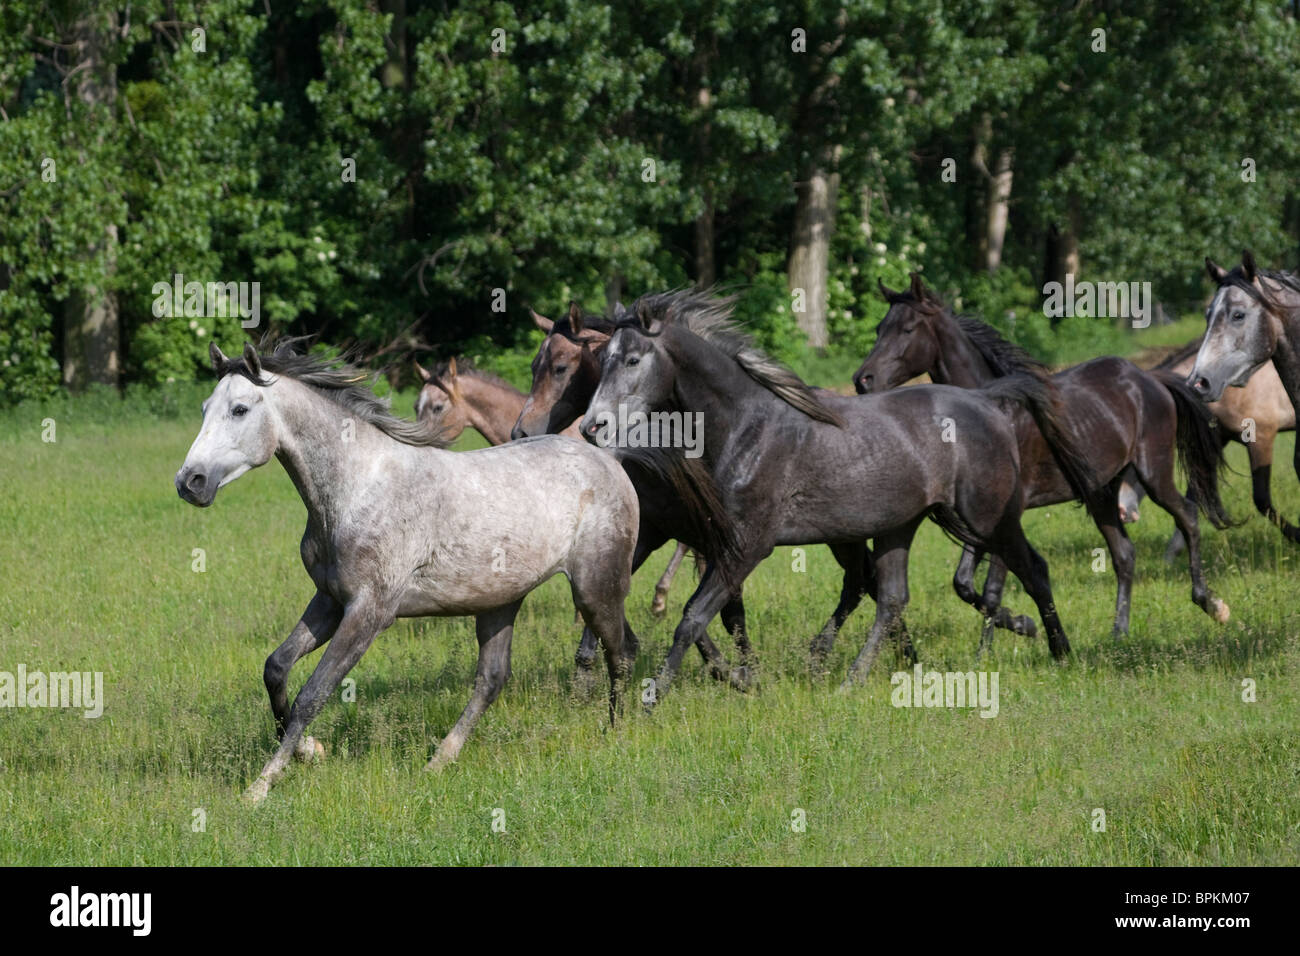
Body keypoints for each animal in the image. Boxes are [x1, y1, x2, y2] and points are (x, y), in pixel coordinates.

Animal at [175, 339, 639, 803]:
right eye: (204, 408)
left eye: (239, 409)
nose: (189, 482)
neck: (358, 489)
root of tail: (608, 462)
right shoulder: (330, 601)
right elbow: (276, 668)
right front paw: (310, 751)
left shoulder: (370, 612)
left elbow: (313, 693)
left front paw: (261, 786)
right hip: (501, 601)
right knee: (493, 679)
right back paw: (438, 761)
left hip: (595, 587)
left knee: (620, 652)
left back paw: (615, 734)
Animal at [579, 289, 1098, 696]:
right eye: (600, 361)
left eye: (632, 360)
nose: (591, 427)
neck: (746, 428)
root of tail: (987, 400)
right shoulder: (716, 541)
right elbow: (716, 616)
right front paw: (739, 676)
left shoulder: (748, 545)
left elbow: (694, 617)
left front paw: (655, 695)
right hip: (899, 527)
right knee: (891, 598)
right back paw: (851, 679)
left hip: (990, 518)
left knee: (1034, 570)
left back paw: (1060, 651)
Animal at [853, 274, 1231, 643]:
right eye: (880, 328)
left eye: (907, 329)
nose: (862, 380)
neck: (994, 411)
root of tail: (1149, 378)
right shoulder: (979, 515)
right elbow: (964, 584)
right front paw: (1023, 625)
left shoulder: (1008, 513)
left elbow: (992, 588)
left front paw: (993, 647)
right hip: (1101, 492)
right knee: (1124, 554)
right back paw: (1119, 632)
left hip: (1154, 472)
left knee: (1188, 515)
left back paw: (1211, 604)